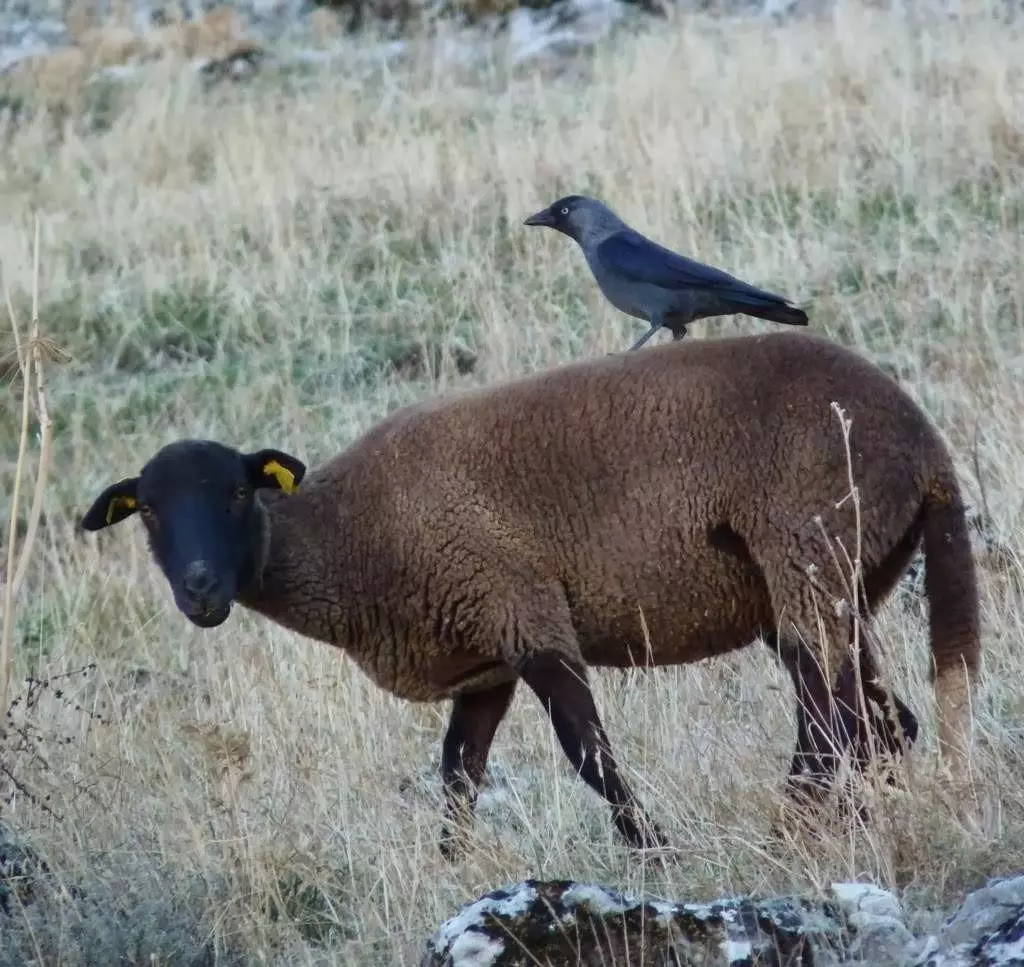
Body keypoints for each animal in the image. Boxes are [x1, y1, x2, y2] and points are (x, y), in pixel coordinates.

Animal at [77, 329, 974, 852]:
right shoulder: (485, 658)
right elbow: (457, 775)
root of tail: (926, 446)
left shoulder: (523, 609)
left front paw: (654, 848)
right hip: (839, 579)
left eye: (236, 493)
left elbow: (588, 753)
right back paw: (855, 823)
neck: (352, 532)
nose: (200, 589)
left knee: (834, 724)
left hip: (806, 550)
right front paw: (454, 867)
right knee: (882, 723)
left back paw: (790, 834)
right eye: (147, 509)